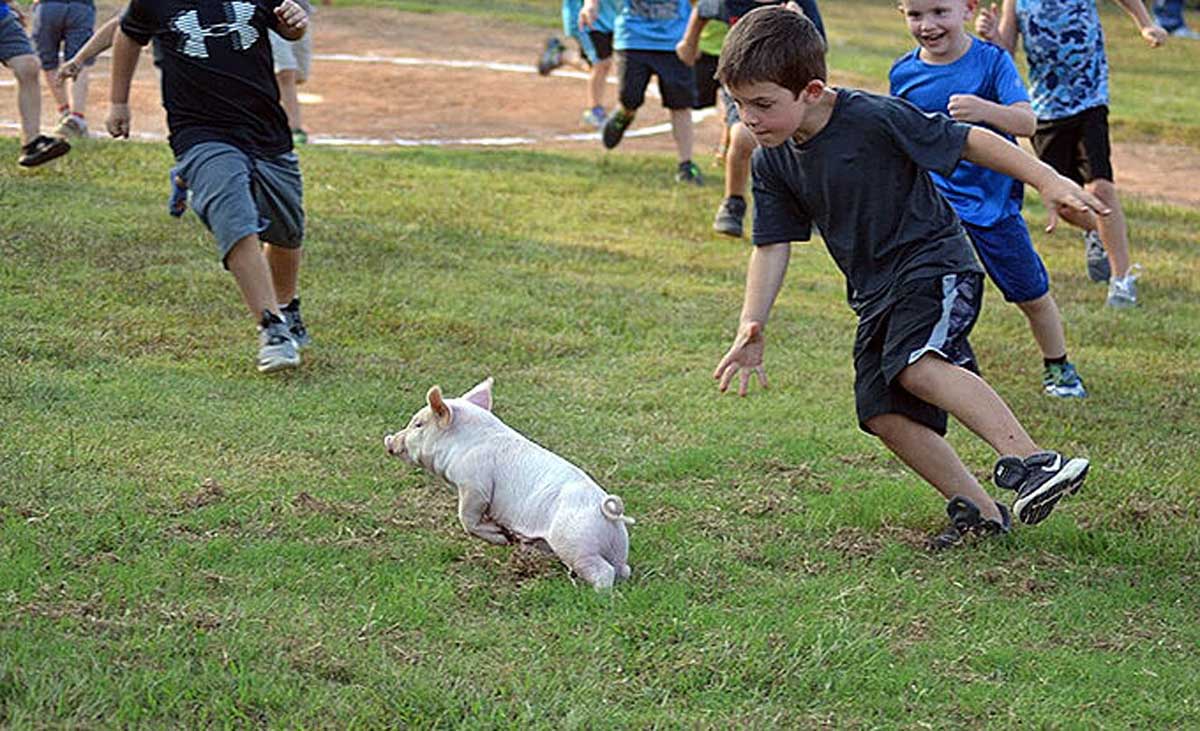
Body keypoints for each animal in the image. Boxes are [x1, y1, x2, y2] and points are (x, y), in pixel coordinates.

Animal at [383, 378, 634, 590]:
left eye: (418, 424)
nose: (389, 440)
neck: (462, 444)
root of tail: (609, 514)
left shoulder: (475, 484)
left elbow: (467, 519)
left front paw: (503, 537)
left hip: (577, 543)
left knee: (604, 572)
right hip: (613, 549)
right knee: (623, 570)